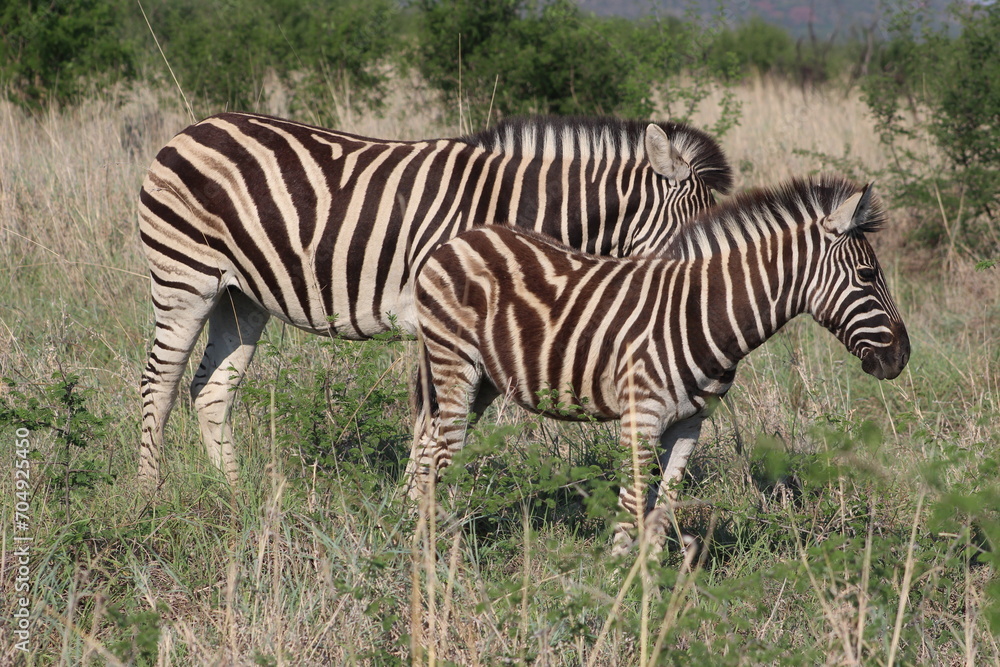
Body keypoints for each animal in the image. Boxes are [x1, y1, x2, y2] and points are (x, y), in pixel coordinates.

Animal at [138, 112, 733, 487]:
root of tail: (195, 127)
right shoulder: (444, 320)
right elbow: (436, 420)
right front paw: (411, 513)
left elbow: (448, 421)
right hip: (183, 277)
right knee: (158, 383)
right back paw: (150, 497)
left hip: (241, 297)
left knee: (210, 391)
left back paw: (236, 497)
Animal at [410, 175, 910, 555]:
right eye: (867, 276)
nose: (902, 357)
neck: (702, 313)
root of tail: (460, 238)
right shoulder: (642, 415)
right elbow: (633, 505)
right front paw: (617, 588)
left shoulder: (690, 422)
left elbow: (664, 504)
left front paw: (651, 580)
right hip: (454, 361)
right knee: (445, 450)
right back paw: (448, 554)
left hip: (484, 379)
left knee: (429, 447)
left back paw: (415, 536)